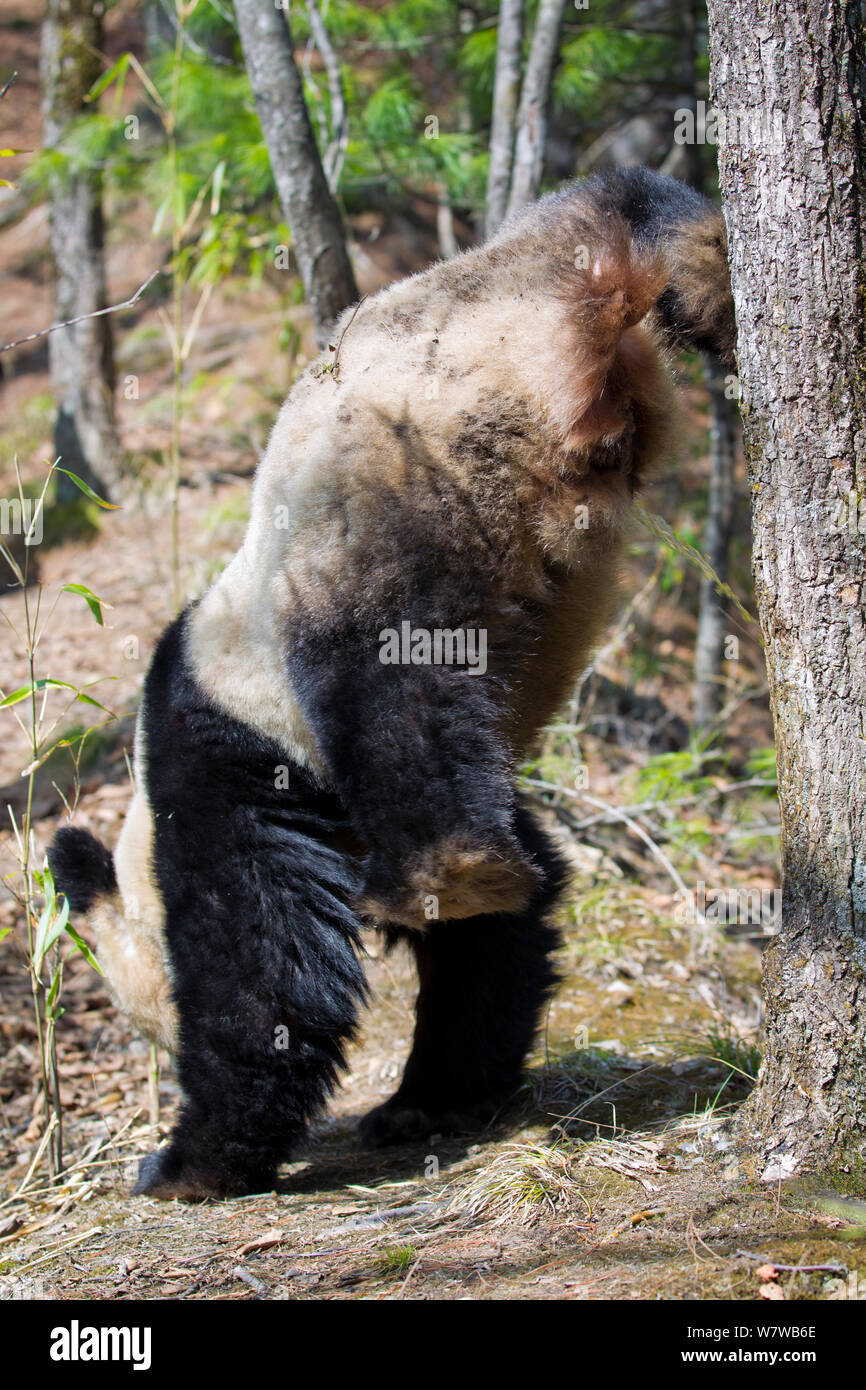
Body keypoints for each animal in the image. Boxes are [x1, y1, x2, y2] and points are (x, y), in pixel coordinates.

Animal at [49, 167, 735, 1200]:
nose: (156, 1054)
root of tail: (544, 329)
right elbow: (502, 937)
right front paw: (434, 1101)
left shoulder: (230, 751)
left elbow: (265, 961)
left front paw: (185, 1162)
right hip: (518, 345)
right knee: (614, 208)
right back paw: (707, 279)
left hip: (389, 496)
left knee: (388, 693)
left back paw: (439, 876)